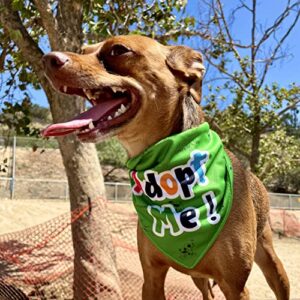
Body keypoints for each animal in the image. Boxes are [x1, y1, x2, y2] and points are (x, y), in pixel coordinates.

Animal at [41, 34, 290, 298]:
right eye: (83, 50)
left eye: (118, 50)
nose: (48, 59)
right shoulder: (152, 276)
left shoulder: (235, 286)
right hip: (198, 277)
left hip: (271, 264)